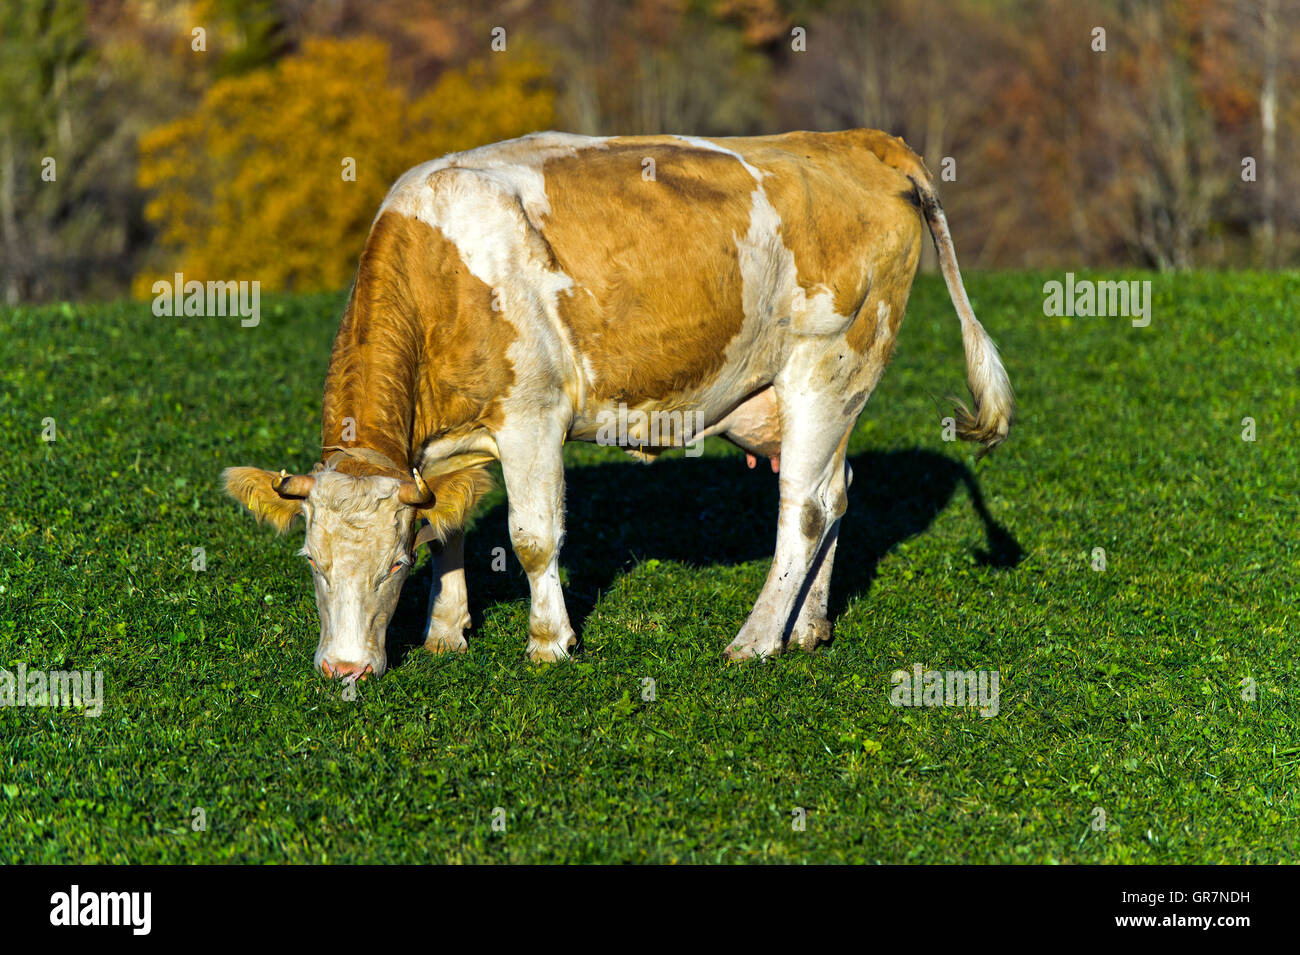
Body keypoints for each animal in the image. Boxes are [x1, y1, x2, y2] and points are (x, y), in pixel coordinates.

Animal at [223, 129, 1013, 679]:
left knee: (806, 509)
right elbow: (449, 526)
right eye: (310, 560)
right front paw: (445, 632)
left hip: (827, 367)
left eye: (391, 566)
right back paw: (809, 626)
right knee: (837, 492)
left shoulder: (532, 418)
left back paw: (756, 641)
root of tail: (859, 141)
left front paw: (550, 642)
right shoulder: (445, 445)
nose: (344, 669)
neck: (442, 269)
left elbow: (533, 537)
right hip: (828, 396)